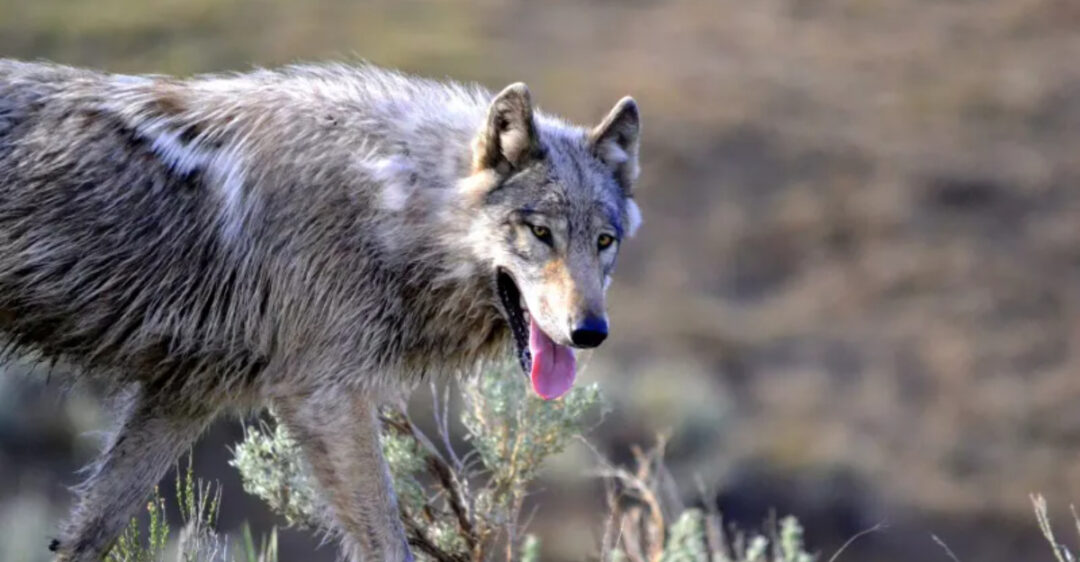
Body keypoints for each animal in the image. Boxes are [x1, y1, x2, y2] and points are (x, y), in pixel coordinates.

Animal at [0, 59, 641, 561]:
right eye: (541, 232)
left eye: (604, 241)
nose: (590, 332)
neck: (391, 208)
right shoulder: (327, 401)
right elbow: (390, 545)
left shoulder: (184, 396)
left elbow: (89, 535)